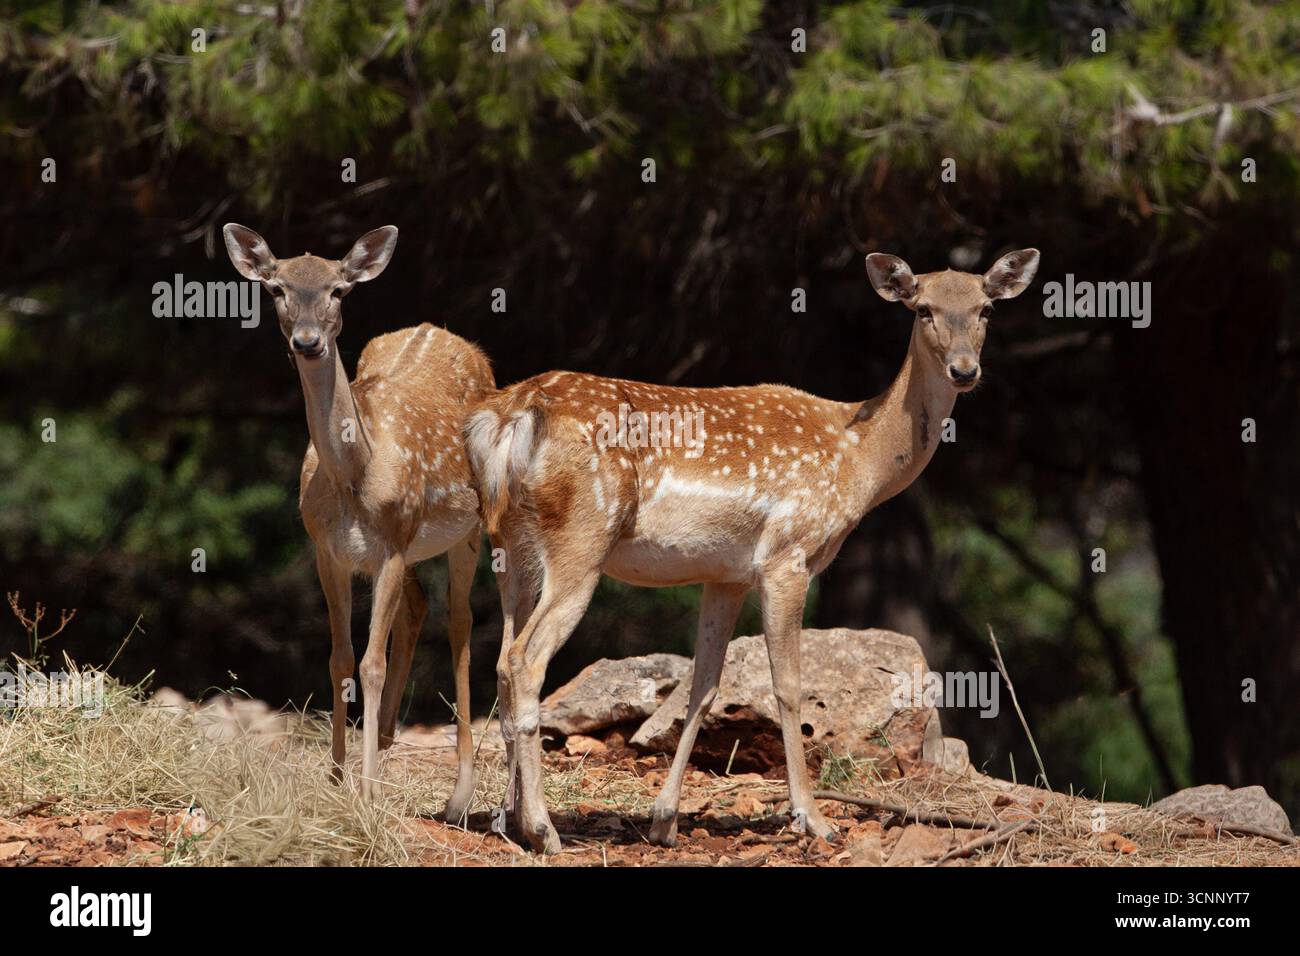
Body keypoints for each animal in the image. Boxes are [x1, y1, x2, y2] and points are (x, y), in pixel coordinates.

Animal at [222, 223, 493, 818]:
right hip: (413, 546)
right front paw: (338, 779)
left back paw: (458, 794)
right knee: (419, 607)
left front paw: (365, 792)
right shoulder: (329, 550)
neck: (355, 476)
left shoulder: (391, 543)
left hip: (469, 527)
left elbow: (371, 663)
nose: (307, 341)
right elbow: (340, 659)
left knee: (461, 620)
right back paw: (386, 747)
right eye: (275, 288)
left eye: (338, 290)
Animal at [464, 249, 1040, 853]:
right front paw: (812, 816)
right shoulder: (789, 552)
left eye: (985, 308)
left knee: (502, 661)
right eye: (923, 307)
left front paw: (665, 819)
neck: (860, 459)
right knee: (525, 660)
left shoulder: (726, 574)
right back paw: (544, 829)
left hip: (509, 544)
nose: (964, 370)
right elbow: (787, 686)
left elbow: (703, 687)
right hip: (583, 535)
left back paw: (509, 820)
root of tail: (509, 415)